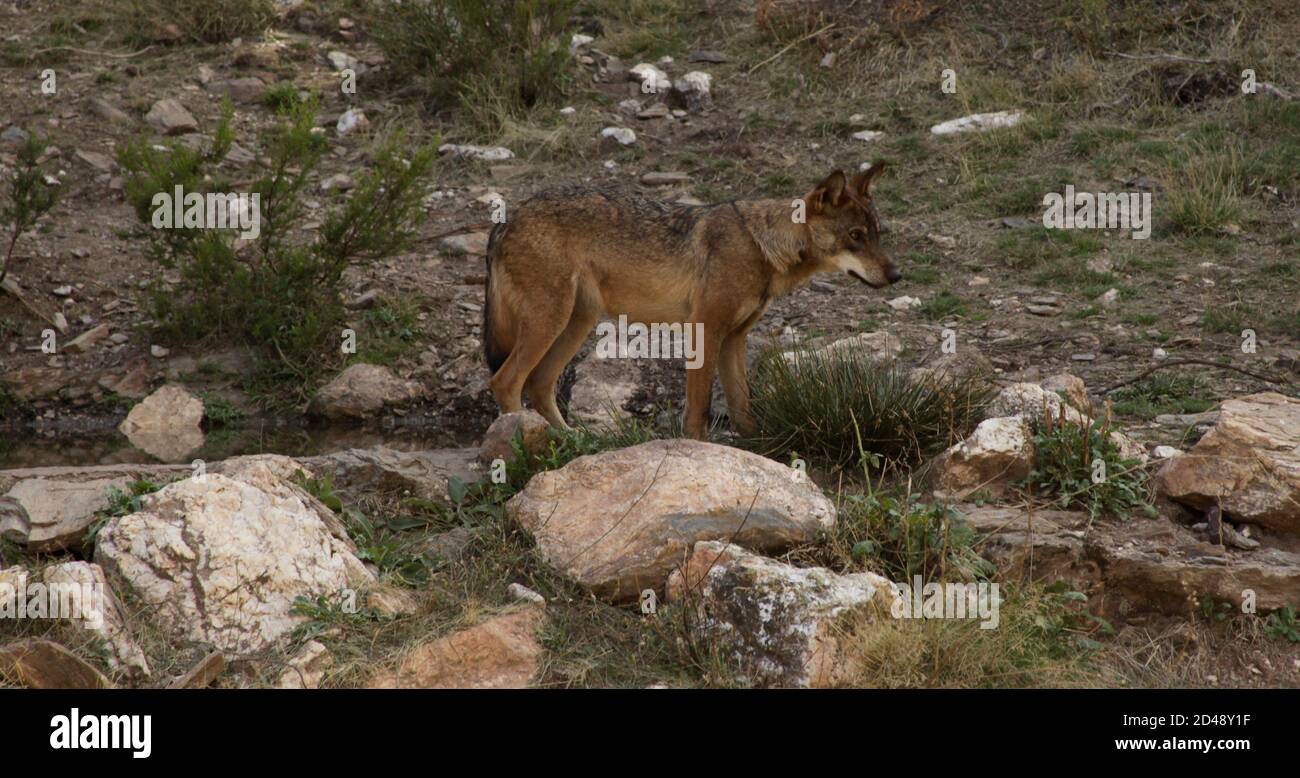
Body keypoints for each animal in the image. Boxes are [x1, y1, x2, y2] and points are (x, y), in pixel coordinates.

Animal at [482, 166, 900, 439]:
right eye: (856, 236)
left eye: (878, 234)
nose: (896, 275)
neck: (761, 247)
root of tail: (507, 218)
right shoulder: (706, 330)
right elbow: (698, 409)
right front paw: (698, 450)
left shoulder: (735, 338)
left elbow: (742, 407)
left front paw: (758, 453)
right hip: (551, 321)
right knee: (506, 381)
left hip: (575, 323)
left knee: (539, 383)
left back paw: (571, 443)